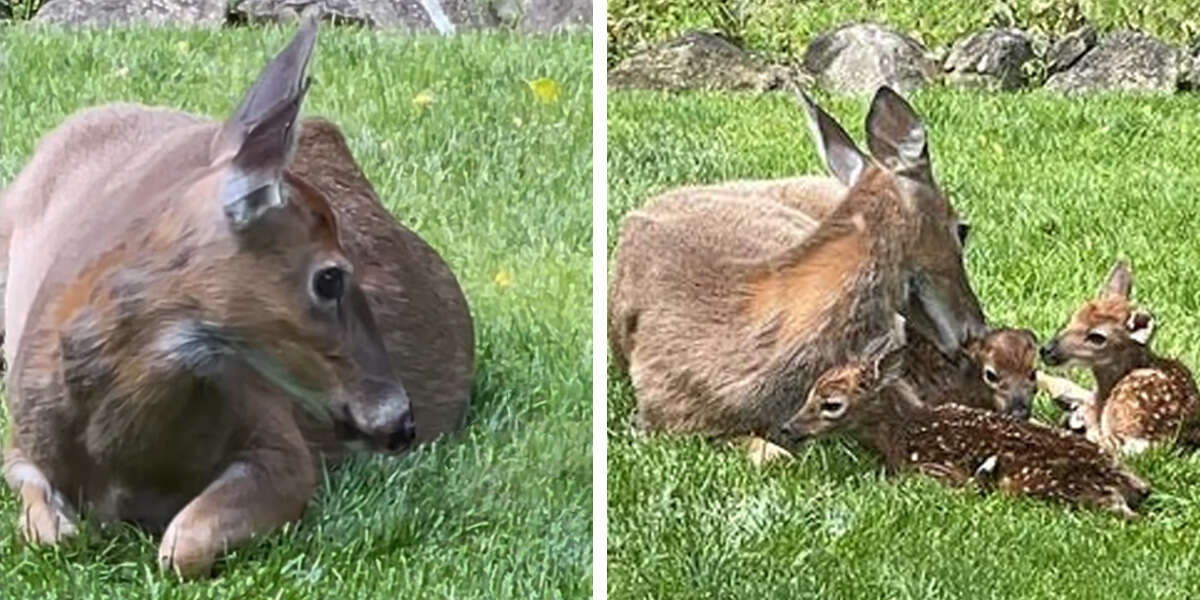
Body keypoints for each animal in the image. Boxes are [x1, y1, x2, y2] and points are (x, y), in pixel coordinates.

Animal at [0, 18, 473, 578]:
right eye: (330, 279)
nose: (402, 420)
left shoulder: (281, 444)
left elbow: (180, 547)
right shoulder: (17, 446)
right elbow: (50, 534)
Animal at [780, 316, 1151, 519]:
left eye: (831, 404)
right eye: (809, 392)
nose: (787, 427)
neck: (902, 432)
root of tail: (1116, 479)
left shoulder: (930, 469)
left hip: (1044, 486)